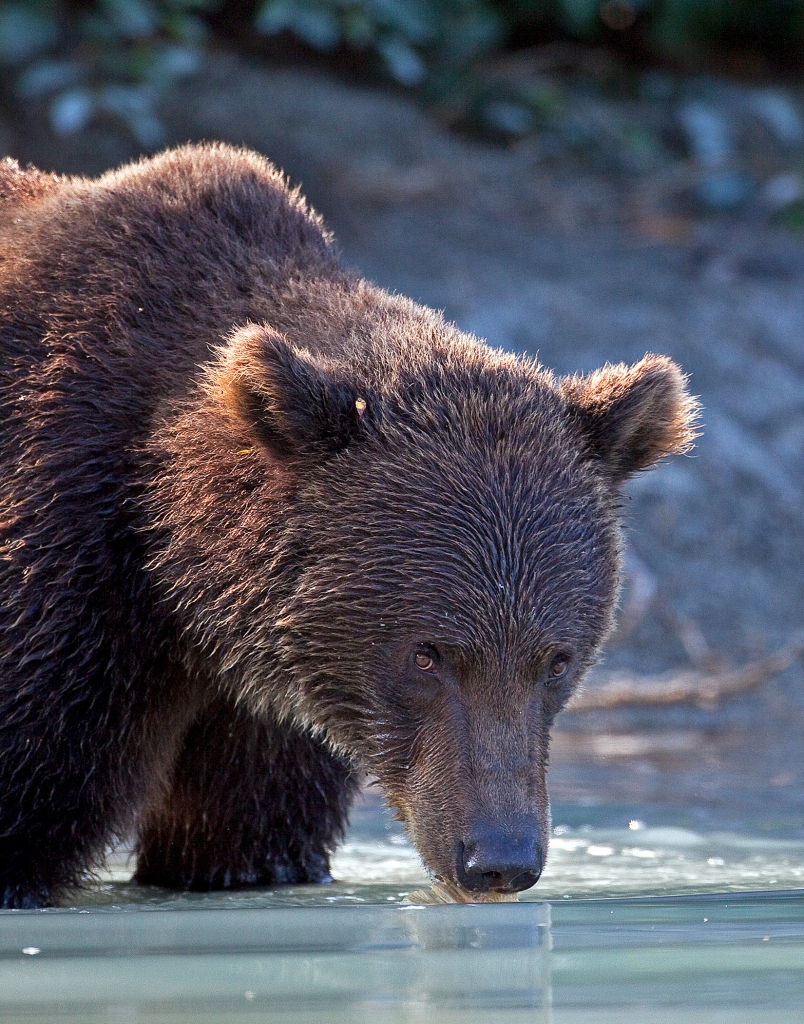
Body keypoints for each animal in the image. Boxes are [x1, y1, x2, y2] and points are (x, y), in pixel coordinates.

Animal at [0, 143, 697, 908]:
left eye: (558, 660)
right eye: (426, 654)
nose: (500, 858)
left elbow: (242, 832)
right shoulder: (65, 556)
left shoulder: (271, 704)